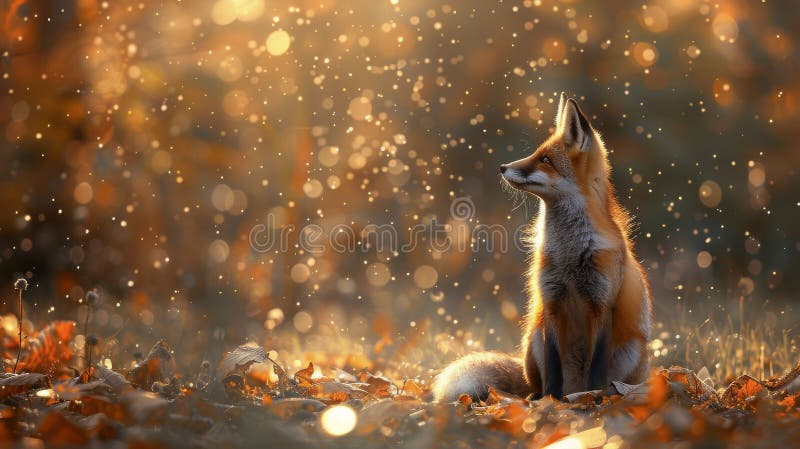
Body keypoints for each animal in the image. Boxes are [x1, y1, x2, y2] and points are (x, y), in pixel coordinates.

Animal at [433, 94, 652, 402]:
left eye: (545, 159)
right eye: (536, 153)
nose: (502, 167)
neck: (569, 253)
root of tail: (575, 387)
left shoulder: (601, 304)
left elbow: (597, 367)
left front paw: (594, 397)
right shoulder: (551, 302)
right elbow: (553, 366)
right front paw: (550, 401)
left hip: (632, 349)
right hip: (533, 337)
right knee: (536, 383)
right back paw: (540, 398)